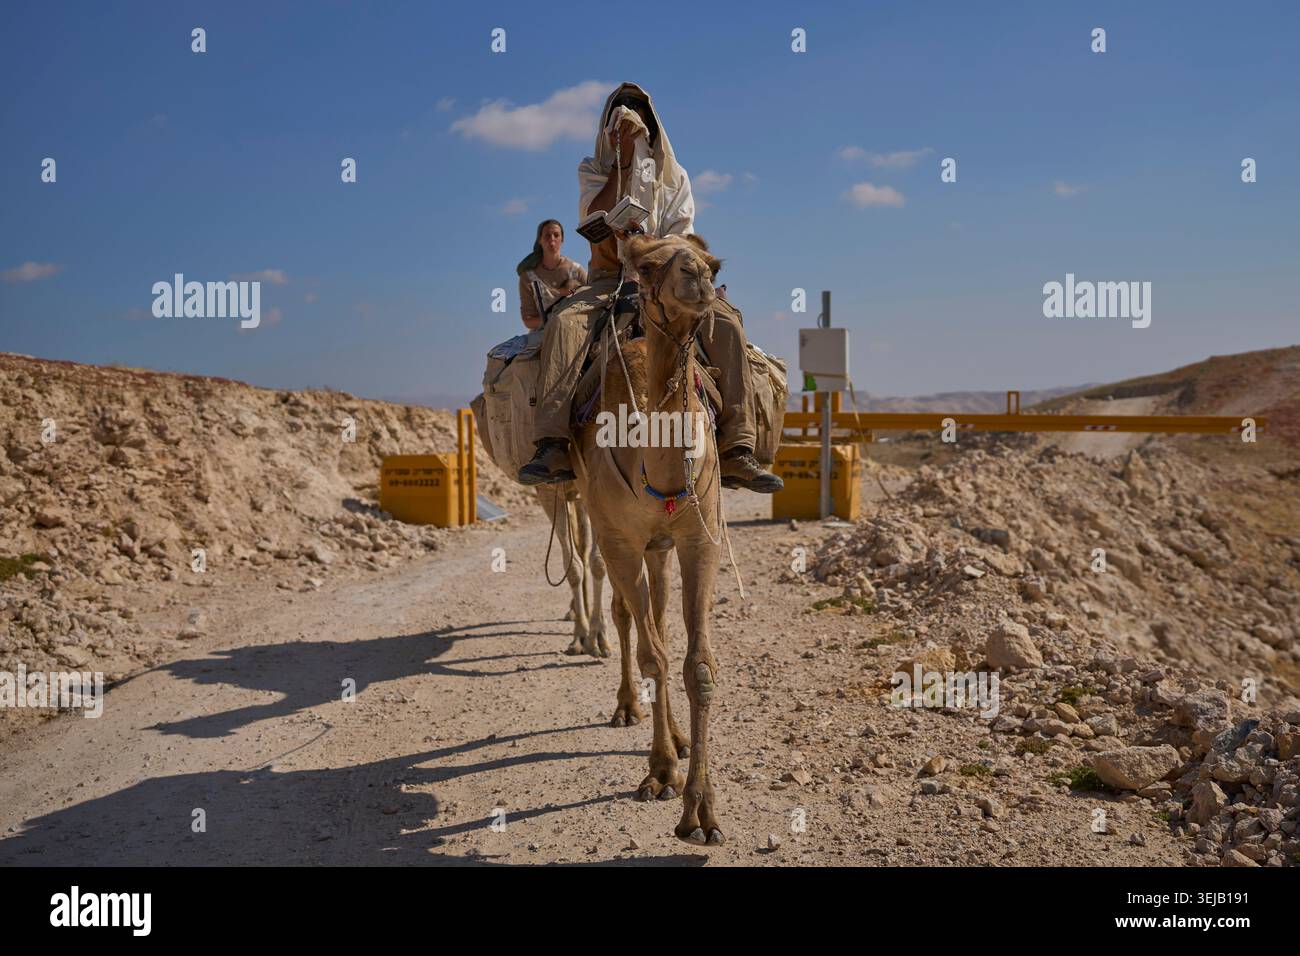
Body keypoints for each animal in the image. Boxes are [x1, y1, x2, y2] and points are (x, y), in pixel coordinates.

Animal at [573, 232, 728, 846]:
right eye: (647, 264)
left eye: (713, 263)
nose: (699, 277)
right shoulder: (619, 541)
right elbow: (654, 656)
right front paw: (660, 773)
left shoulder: (698, 539)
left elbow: (697, 666)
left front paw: (702, 811)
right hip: (615, 535)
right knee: (630, 621)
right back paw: (629, 709)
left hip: (659, 549)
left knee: (655, 614)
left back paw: (680, 738)